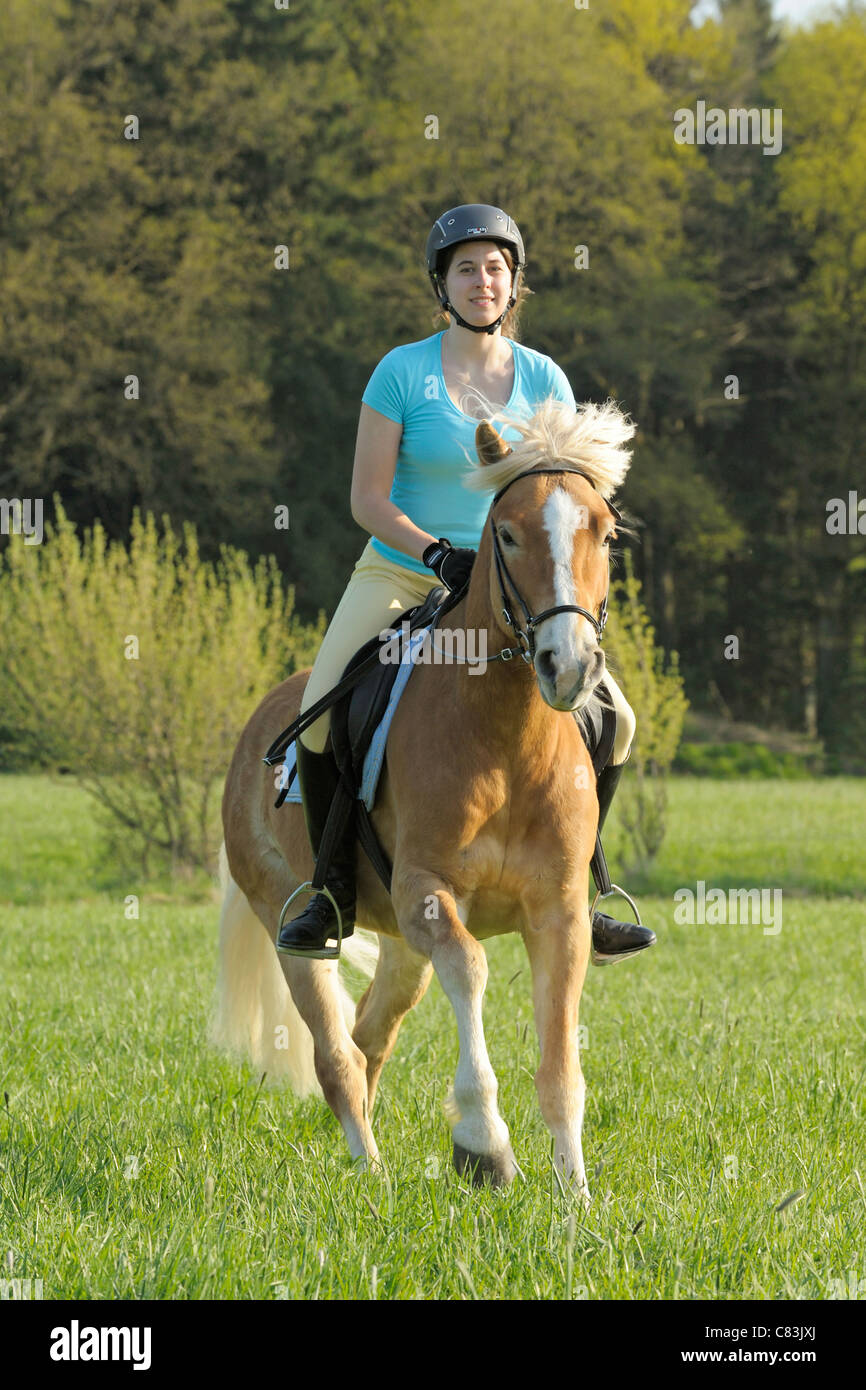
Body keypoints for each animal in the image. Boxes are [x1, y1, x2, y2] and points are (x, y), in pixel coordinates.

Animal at [213, 395, 634, 1197]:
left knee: (369, 1037)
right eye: (507, 532)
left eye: (604, 532)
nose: (567, 667)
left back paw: (366, 1169)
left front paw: (576, 1195)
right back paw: (369, 1171)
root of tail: (257, 724)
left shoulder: (559, 910)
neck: (506, 737)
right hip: (296, 924)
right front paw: (483, 1144)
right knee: (336, 1055)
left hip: (401, 945)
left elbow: (561, 1063)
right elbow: (470, 970)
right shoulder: (427, 891)